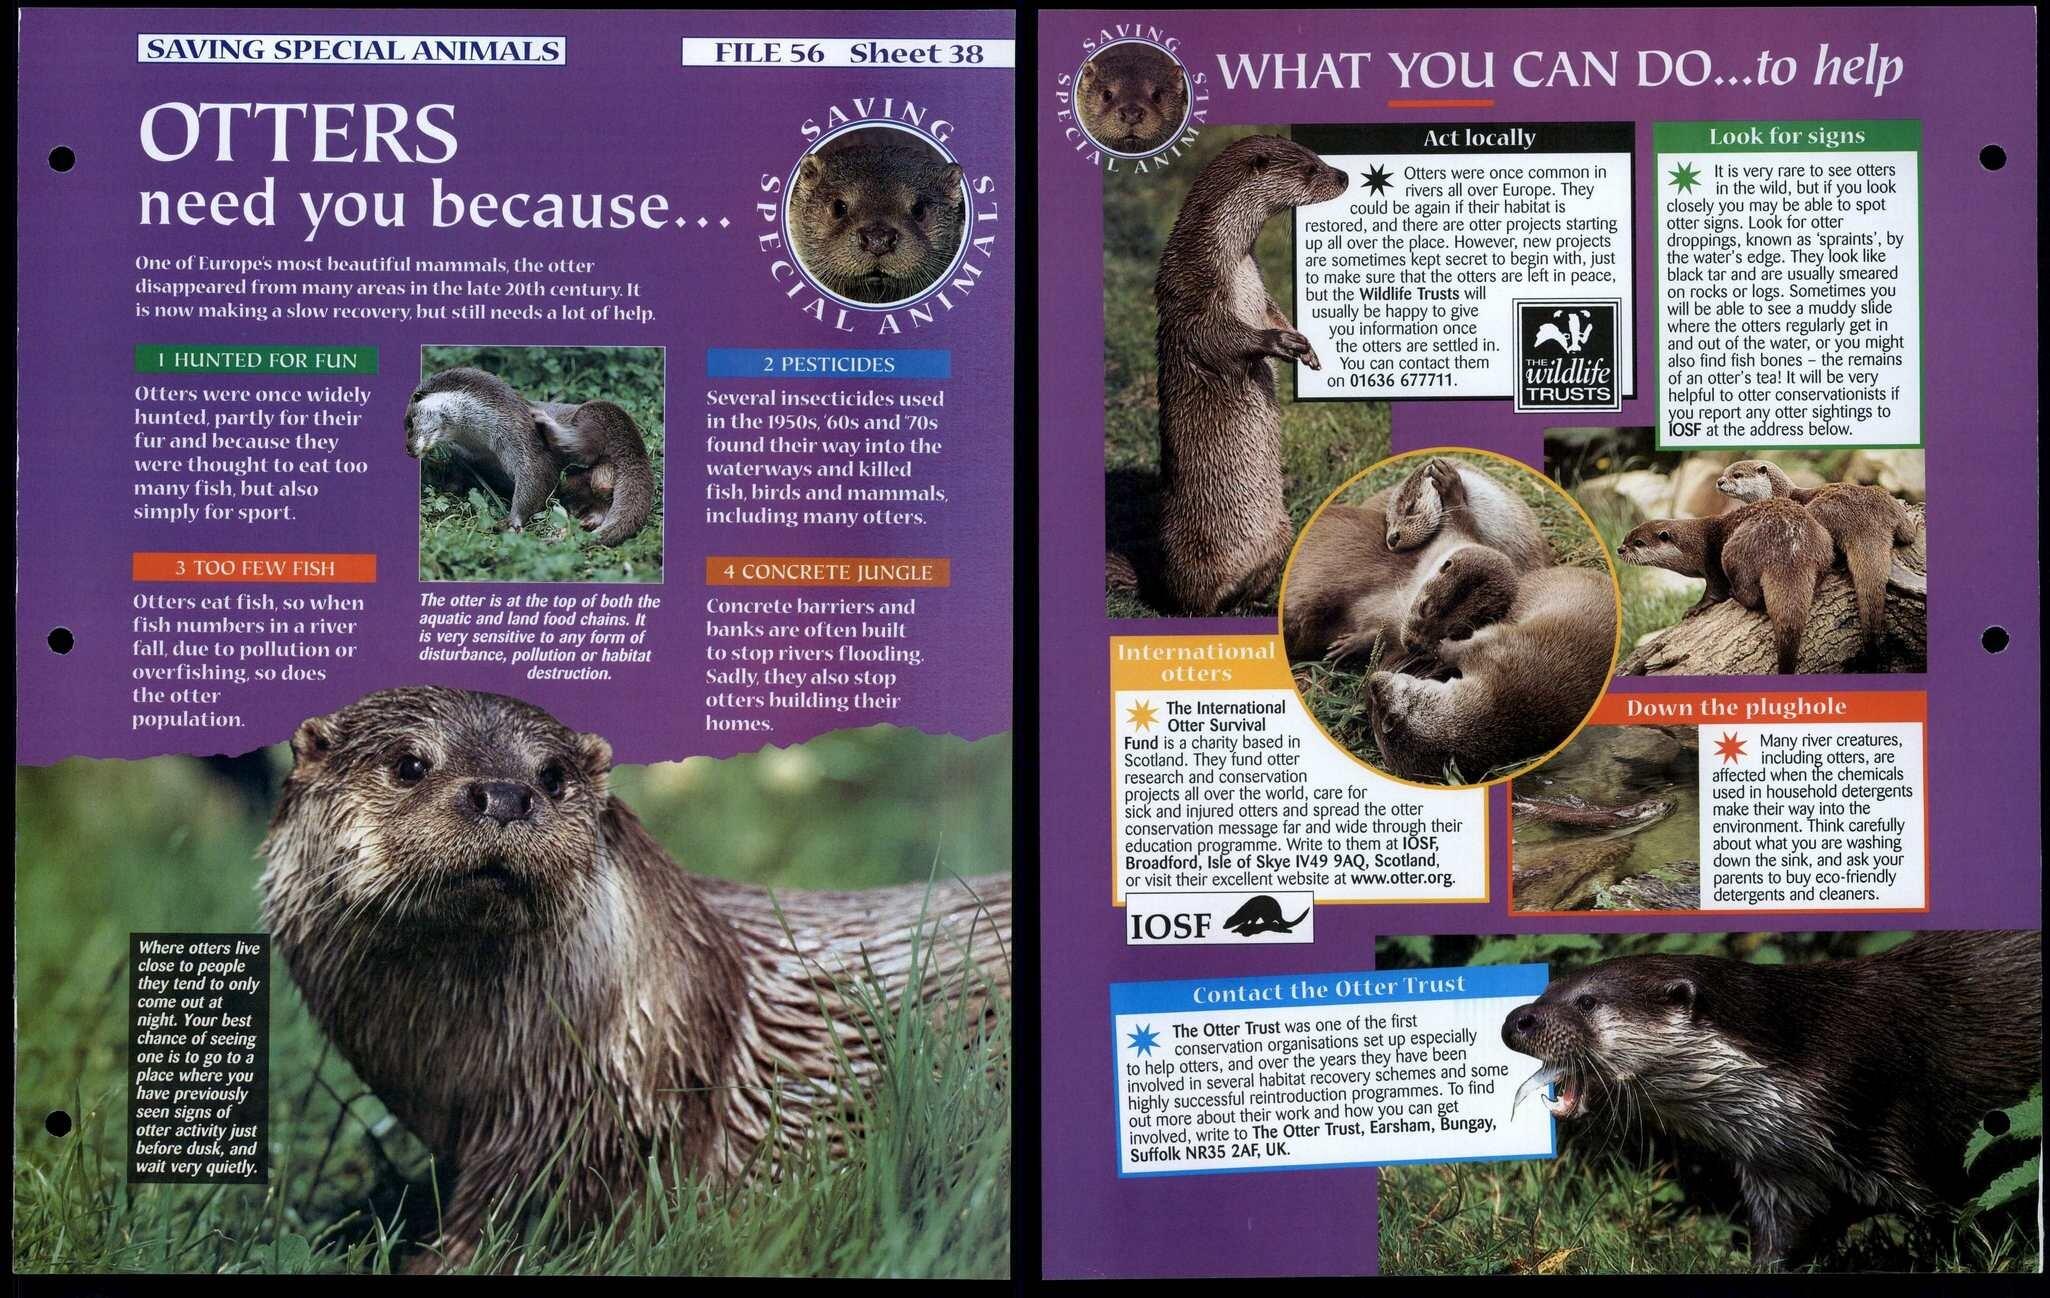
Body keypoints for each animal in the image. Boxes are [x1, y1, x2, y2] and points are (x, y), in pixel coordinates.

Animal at [1151, 135, 1348, 615]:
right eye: (1311, 170)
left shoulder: (1259, 288)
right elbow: (1216, 337)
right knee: (1194, 600)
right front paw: (1278, 344)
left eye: (1318, 158)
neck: (1232, 260)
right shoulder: (1191, 294)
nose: (1343, 175)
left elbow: (1274, 311)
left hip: (1282, 531)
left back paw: (1257, 603)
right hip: (1191, 553)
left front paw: (1306, 348)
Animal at [1503, 932, 2042, 1267]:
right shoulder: (1779, 1172)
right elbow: (1782, 1240)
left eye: (1587, 1001)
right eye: (1547, 988)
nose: (1515, 1020)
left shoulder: (1926, 1143)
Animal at [1616, 498, 1833, 674]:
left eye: (1638, 542)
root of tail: (1789, 550)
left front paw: (1694, 608)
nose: (1619, 549)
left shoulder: (1711, 560)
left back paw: (1735, 594)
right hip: (1824, 544)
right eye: (1626, 537)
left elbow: (1714, 591)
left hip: (1732, 552)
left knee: (1750, 596)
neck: (1695, 545)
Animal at [1715, 459, 1921, 657]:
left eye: (1737, 475)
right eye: (1724, 473)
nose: (1719, 481)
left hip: (1818, 511)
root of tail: (1864, 523)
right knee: (1908, 534)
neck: (1777, 495)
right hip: (1887, 502)